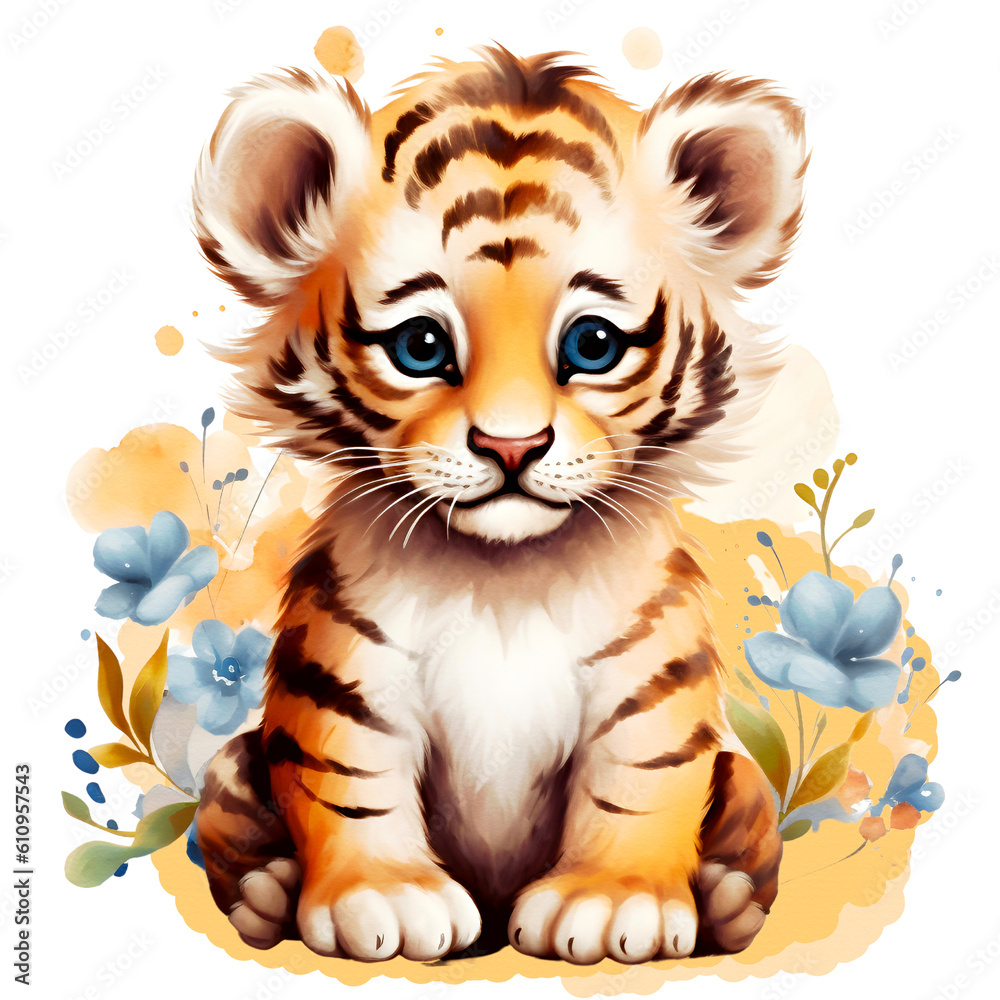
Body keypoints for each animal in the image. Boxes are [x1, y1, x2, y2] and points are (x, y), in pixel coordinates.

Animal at [191, 44, 806, 964]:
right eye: (421, 346)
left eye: (593, 344)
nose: (512, 447)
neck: (503, 576)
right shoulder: (342, 677)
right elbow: (351, 782)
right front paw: (386, 897)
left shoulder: (650, 684)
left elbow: (641, 778)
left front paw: (613, 901)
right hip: (234, 764)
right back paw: (268, 887)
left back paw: (729, 892)